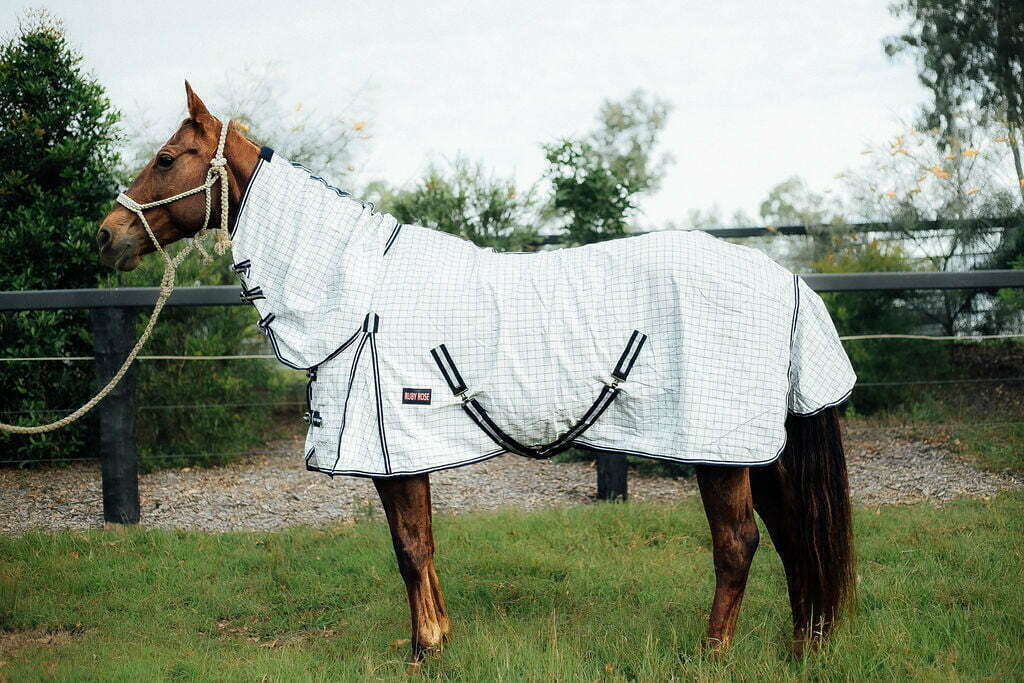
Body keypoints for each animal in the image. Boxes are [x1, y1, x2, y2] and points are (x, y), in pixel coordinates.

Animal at [98, 82, 854, 662]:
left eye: (166, 158)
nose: (107, 236)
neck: (357, 287)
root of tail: (785, 280)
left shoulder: (393, 449)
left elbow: (408, 547)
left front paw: (422, 649)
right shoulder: (403, 451)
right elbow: (422, 543)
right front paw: (436, 638)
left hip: (718, 449)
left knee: (739, 543)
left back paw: (711, 653)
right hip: (758, 449)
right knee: (793, 533)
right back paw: (802, 647)